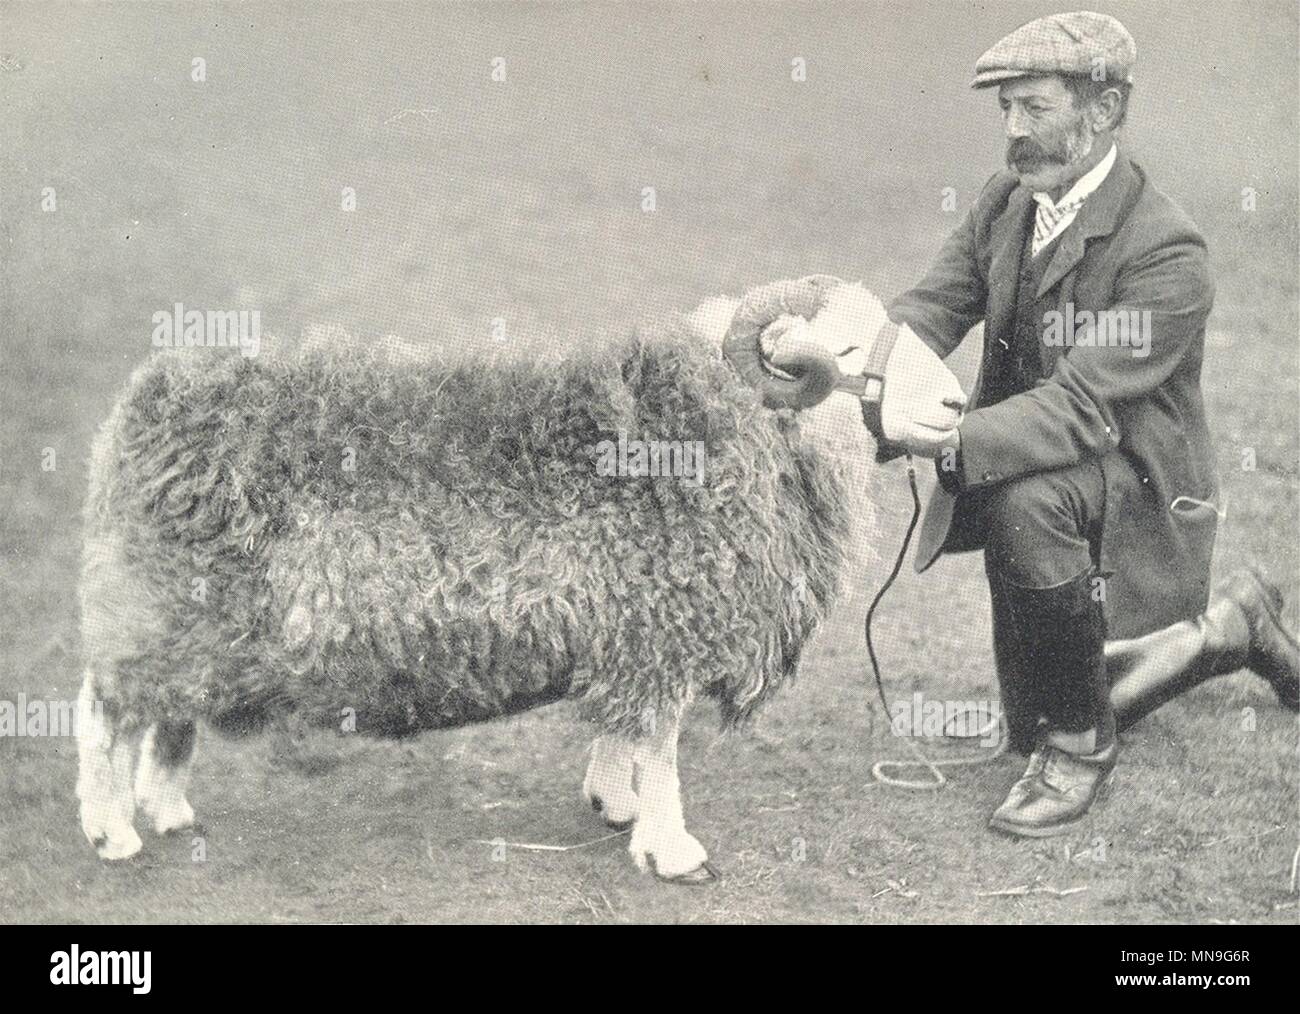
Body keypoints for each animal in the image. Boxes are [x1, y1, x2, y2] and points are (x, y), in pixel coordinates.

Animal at [76, 277, 965, 882]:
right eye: (844, 355)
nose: (959, 404)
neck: (719, 430)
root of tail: (143, 408)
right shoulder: (664, 630)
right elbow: (661, 743)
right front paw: (673, 850)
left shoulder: (630, 629)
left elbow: (624, 730)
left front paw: (615, 803)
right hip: (154, 614)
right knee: (102, 716)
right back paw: (111, 831)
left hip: (190, 624)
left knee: (165, 717)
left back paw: (165, 809)